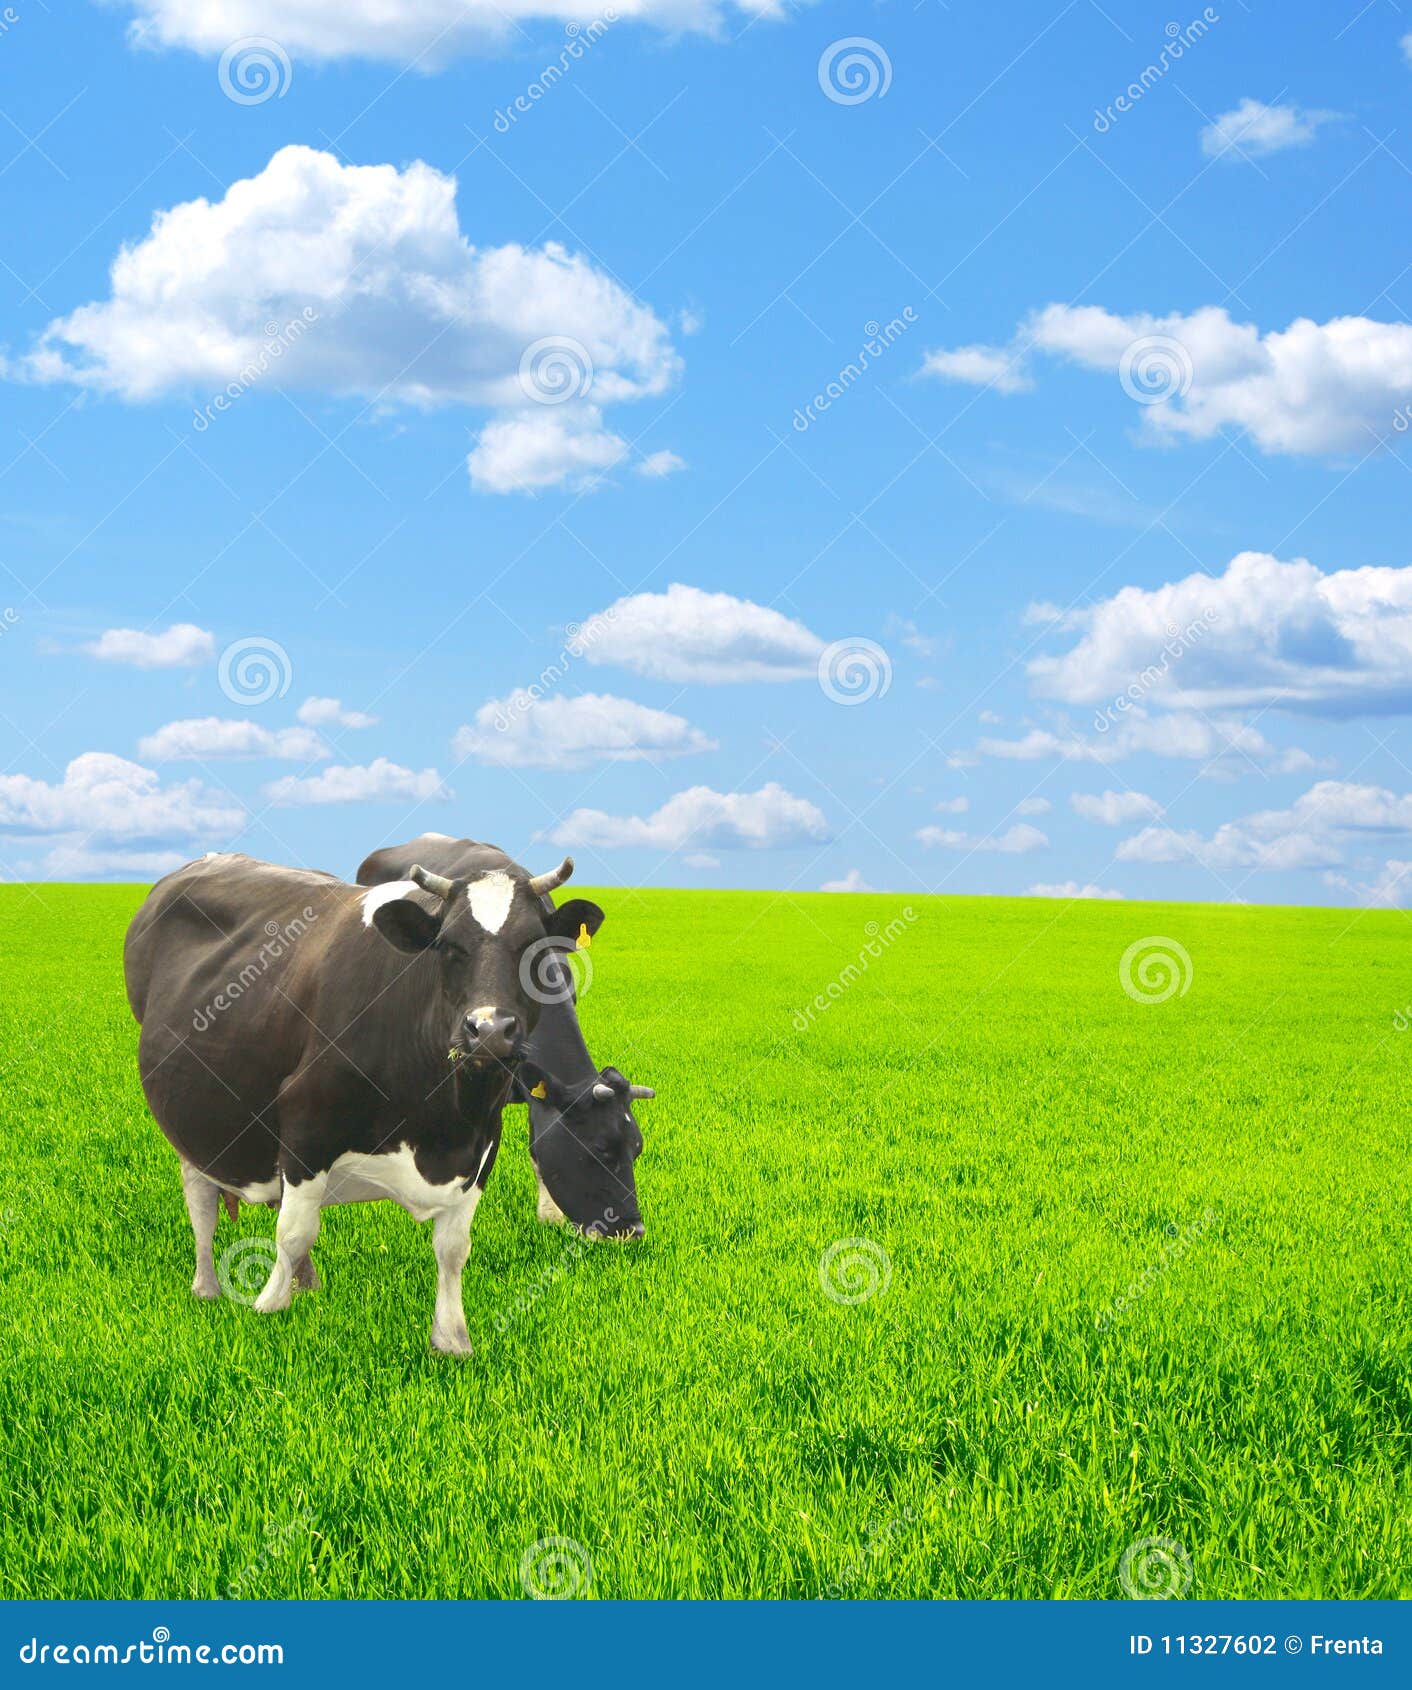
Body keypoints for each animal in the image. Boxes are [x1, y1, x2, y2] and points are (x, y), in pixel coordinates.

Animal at [123, 846, 603, 1356]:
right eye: (448, 946)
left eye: (535, 946)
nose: (490, 1029)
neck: (443, 1126)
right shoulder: (305, 1126)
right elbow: (293, 1233)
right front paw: (268, 1308)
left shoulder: (482, 1145)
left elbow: (453, 1248)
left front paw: (452, 1338)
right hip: (191, 1117)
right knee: (202, 1201)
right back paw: (208, 1286)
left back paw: (306, 1283)